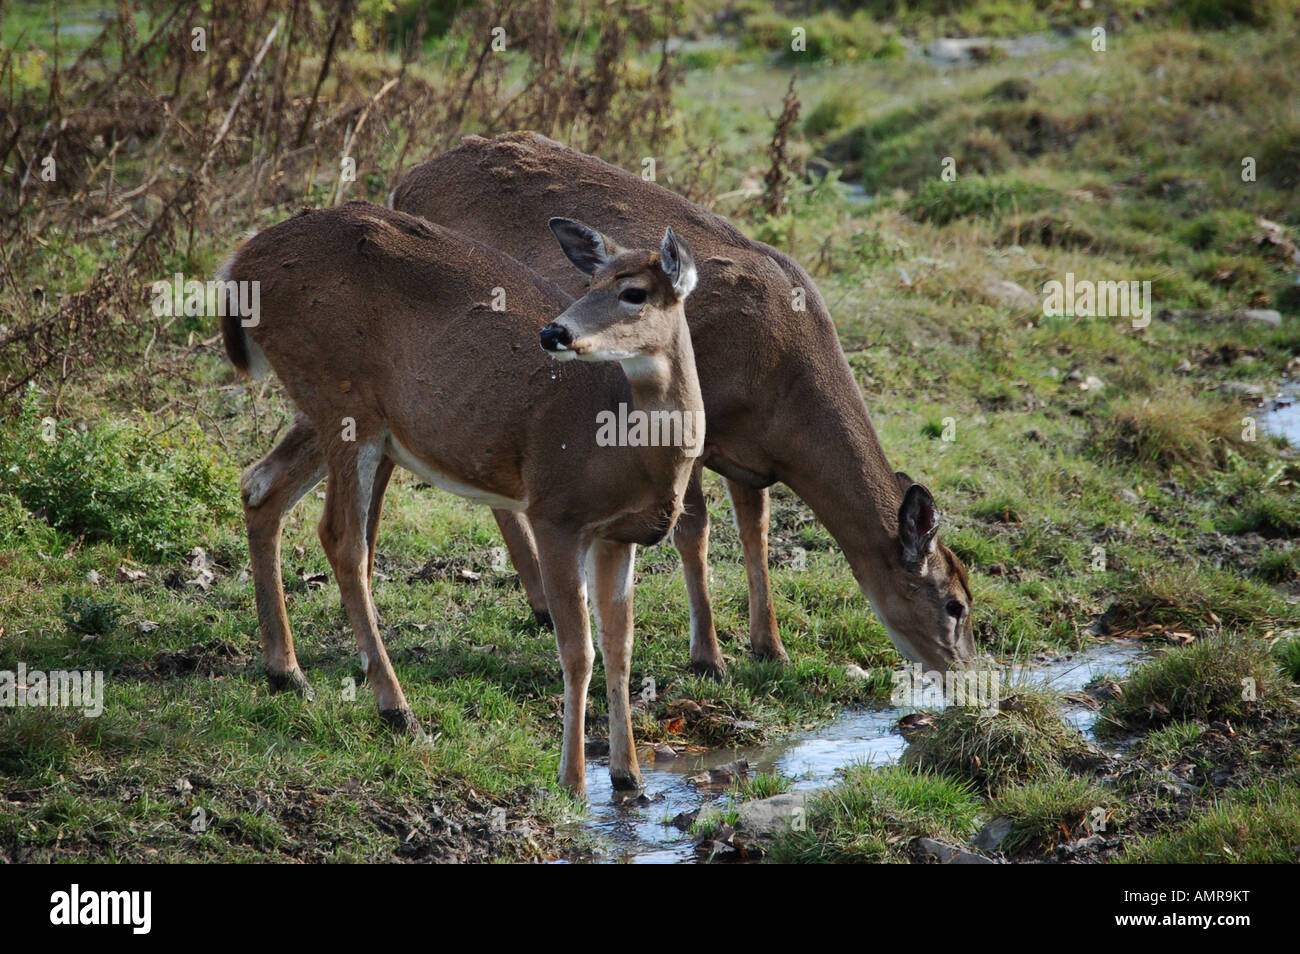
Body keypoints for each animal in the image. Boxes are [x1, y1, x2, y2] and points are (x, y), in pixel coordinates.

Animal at [221, 200, 705, 797]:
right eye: (590, 282)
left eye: (634, 292)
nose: (554, 331)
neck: (630, 451)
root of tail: (240, 263)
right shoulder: (555, 510)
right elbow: (579, 651)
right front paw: (572, 781)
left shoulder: (618, 535)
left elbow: (620, 647)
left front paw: (628, 776)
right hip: (343, 397)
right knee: (341, 537)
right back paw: (396, 710)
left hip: (334, 411)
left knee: (260, 487)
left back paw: (286, 672)